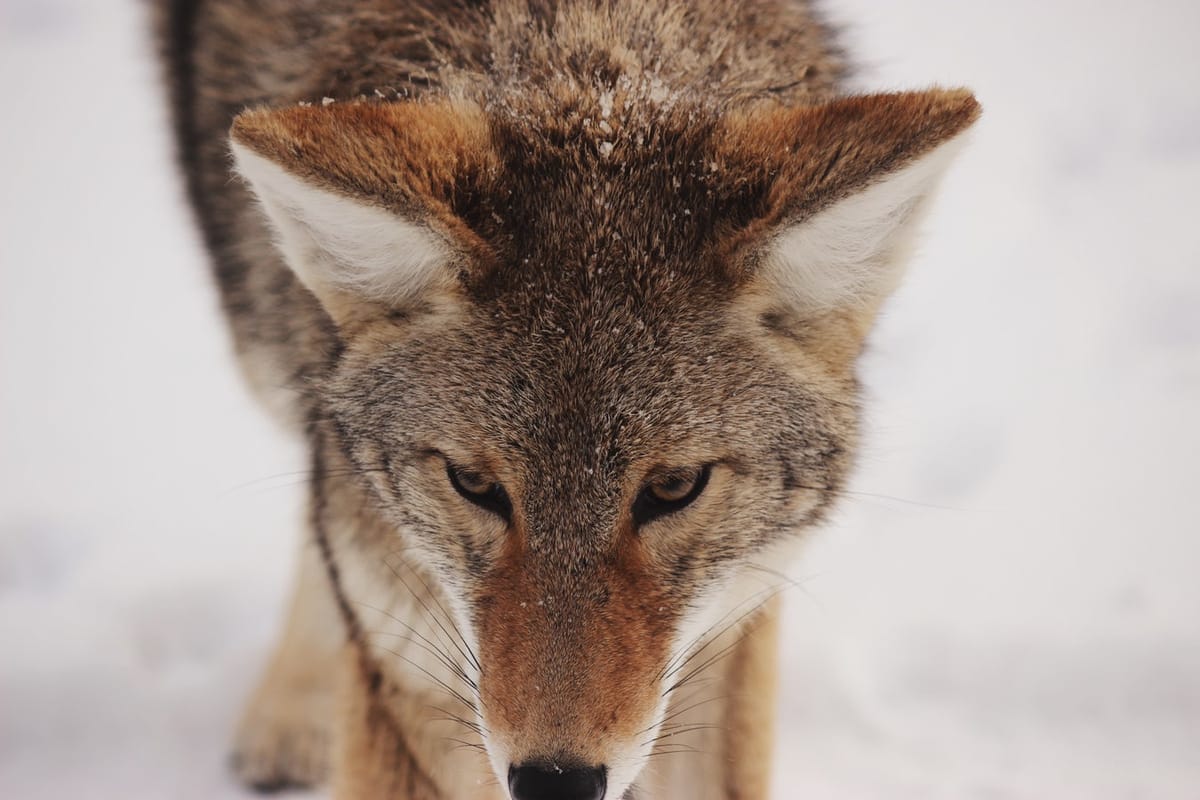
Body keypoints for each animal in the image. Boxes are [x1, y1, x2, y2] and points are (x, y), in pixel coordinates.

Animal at [157, 1, 978, 797]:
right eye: (474, 484)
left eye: (675, 488)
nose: (556, 782)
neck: (584, 47)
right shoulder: (411, 666)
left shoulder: (730, 627)